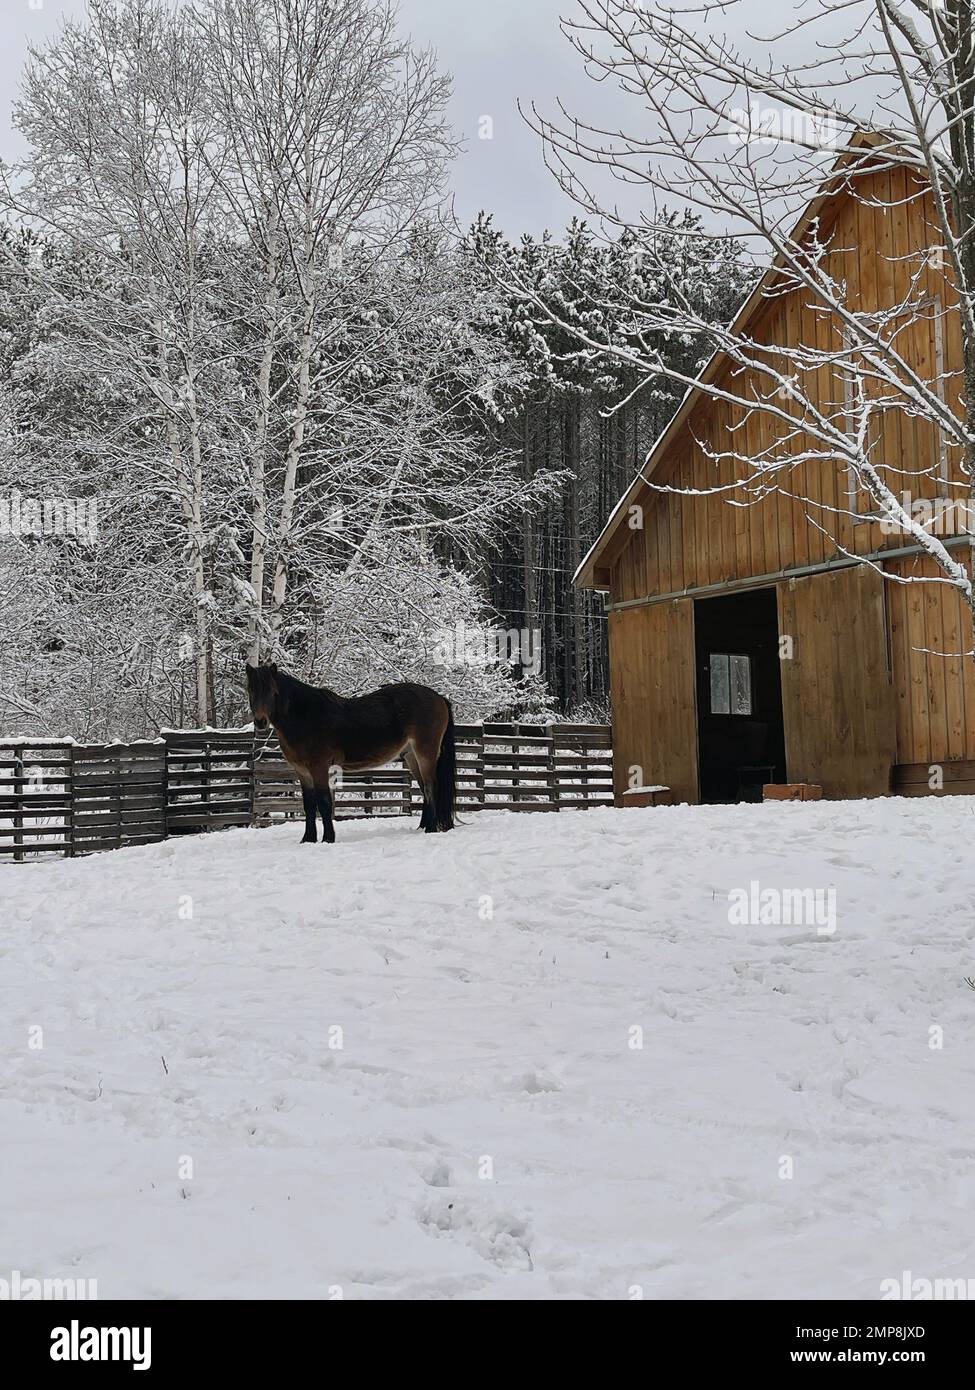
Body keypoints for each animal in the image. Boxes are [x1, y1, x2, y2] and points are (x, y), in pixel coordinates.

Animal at [245, 663, 456, 844]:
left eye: (273, 692)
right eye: (251, 690)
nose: (260, 722)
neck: (306, 717)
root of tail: (439, 697)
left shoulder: (319, 768)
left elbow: (324, 802)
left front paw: (328, 838)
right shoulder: (302, 772)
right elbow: (309, 805)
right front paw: (308, 839)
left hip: (425, 754)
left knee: (430, 787)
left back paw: (431, 829)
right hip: (411, 756)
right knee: (423, 787)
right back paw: (423, 827)